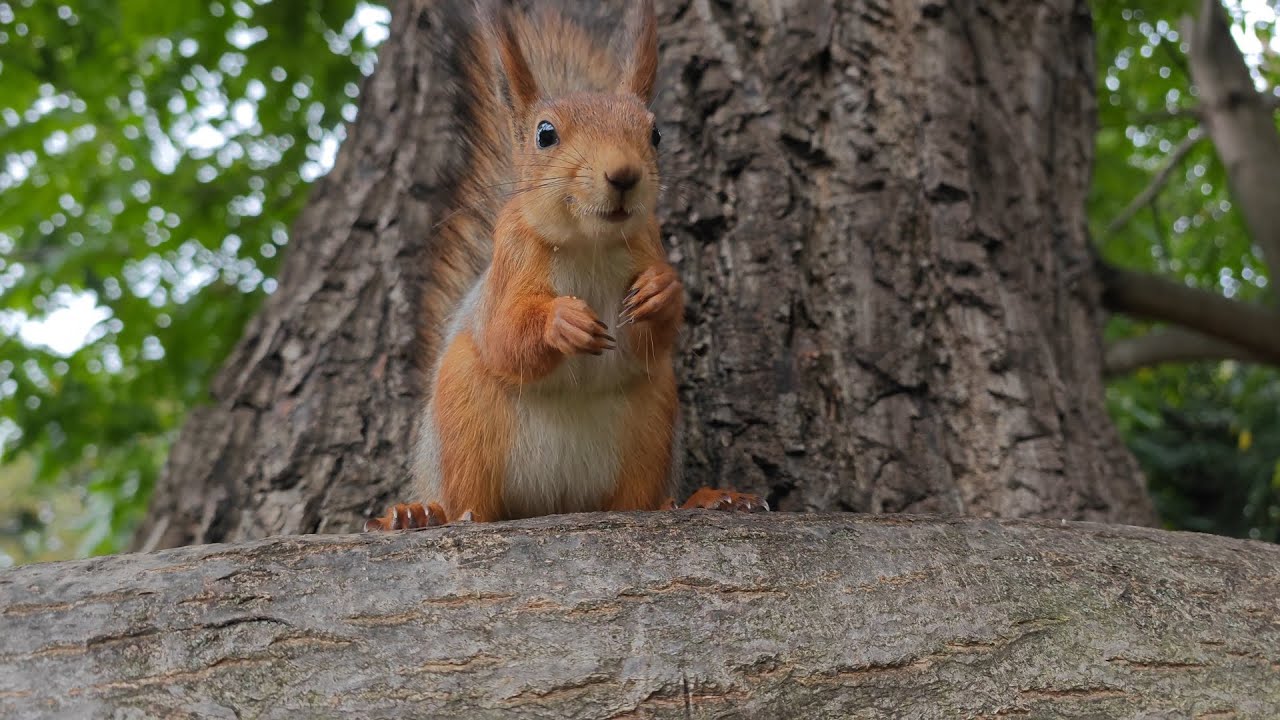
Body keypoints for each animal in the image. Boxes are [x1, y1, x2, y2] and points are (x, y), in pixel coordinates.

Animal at [364, 0, 767, 531]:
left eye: (655, 133)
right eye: (545, 134)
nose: (624, 174)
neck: (588, 244)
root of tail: (552, 504)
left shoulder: (647, 245)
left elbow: (653, 335)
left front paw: (663, 291)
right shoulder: (510, 262)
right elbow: (505, 335)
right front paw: (563, 321)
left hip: (651, 416)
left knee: (636, 500)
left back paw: (703, 501)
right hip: (464, 415)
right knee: (468, 502)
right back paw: (420, 513)